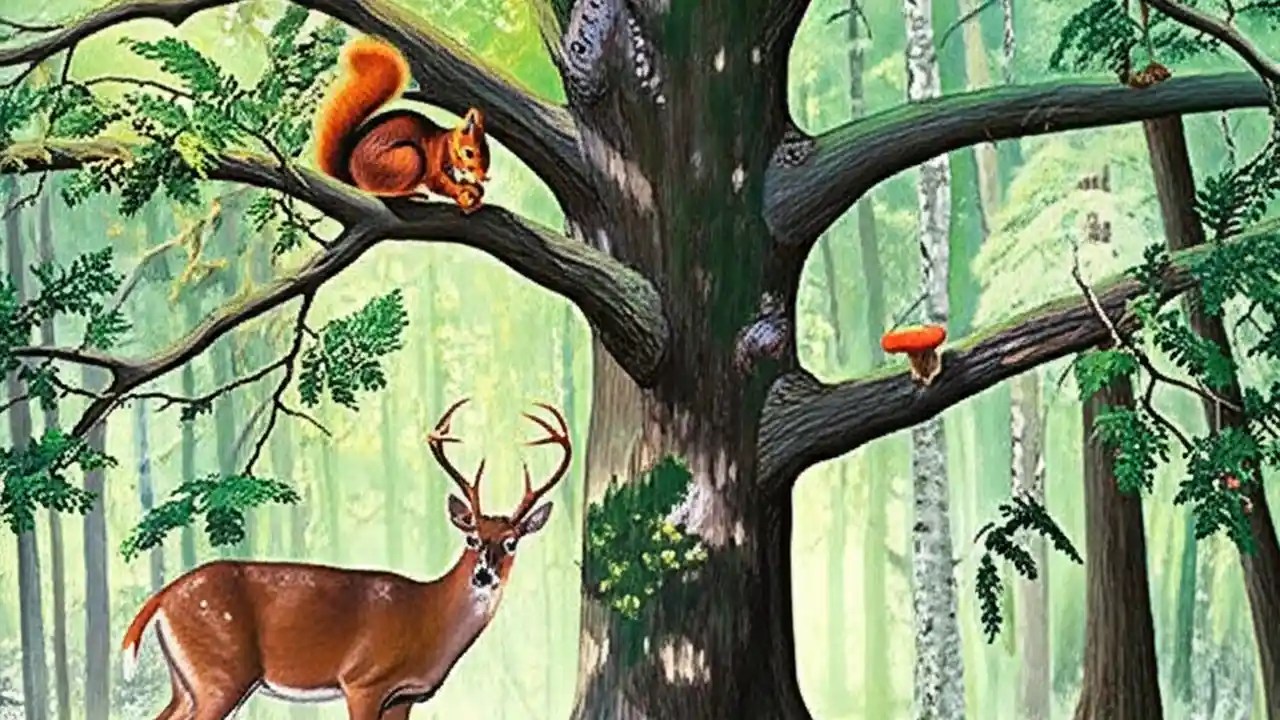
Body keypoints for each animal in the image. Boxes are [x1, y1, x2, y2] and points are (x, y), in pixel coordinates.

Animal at [119, 398, 571, 719]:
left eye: (511, 542)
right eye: (472, 537)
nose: (483, 576)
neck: (426, 616)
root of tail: (161, 598)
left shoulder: (403, 697)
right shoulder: (363, 681)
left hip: (187, 682)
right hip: (220, 673)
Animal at [313, 37, 490, 214]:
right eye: (469, 153)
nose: (484, 177)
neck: (447, 143)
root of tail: (352, 180)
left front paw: (473, 189)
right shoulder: (434, 160)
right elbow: (438, 183)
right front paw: (462, 192)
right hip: (409, 159)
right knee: (379, 191)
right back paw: (409, 194)